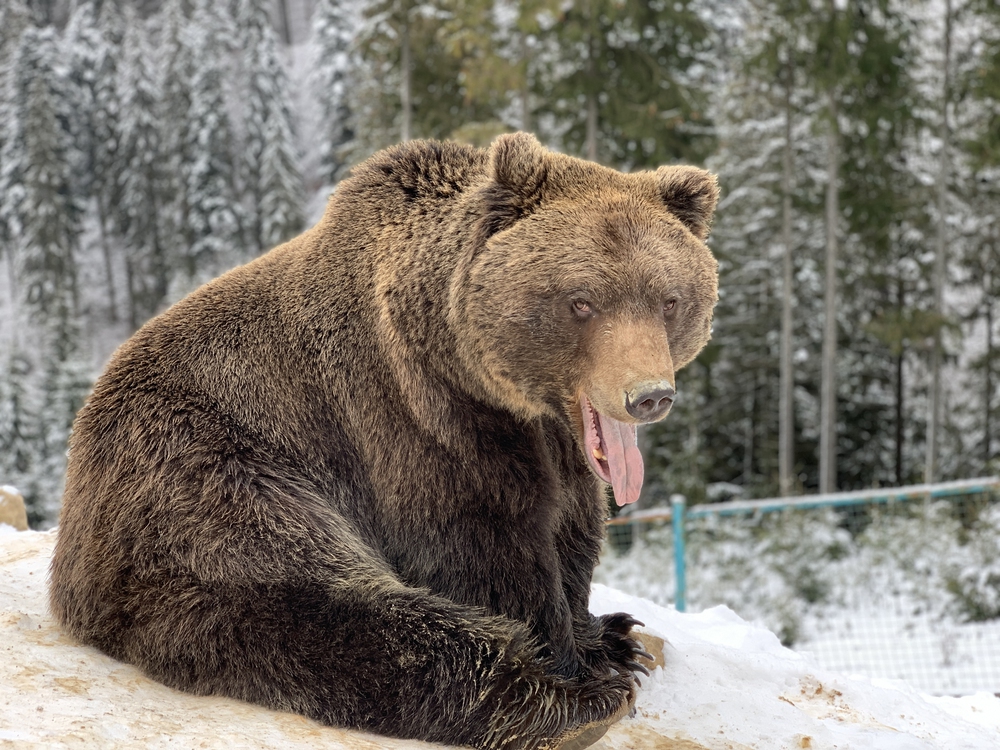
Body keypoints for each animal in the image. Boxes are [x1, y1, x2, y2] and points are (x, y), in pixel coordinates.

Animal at [49, 133, 719, 749]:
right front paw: (577, 666)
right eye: (581, 301)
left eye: (669, 299)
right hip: (209, 468)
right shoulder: (416, 422)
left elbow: (572, 529)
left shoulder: (557, 445)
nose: (648, 396)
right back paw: (561, 706)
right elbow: (486, 550)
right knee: (312, 590)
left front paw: (606, 635)